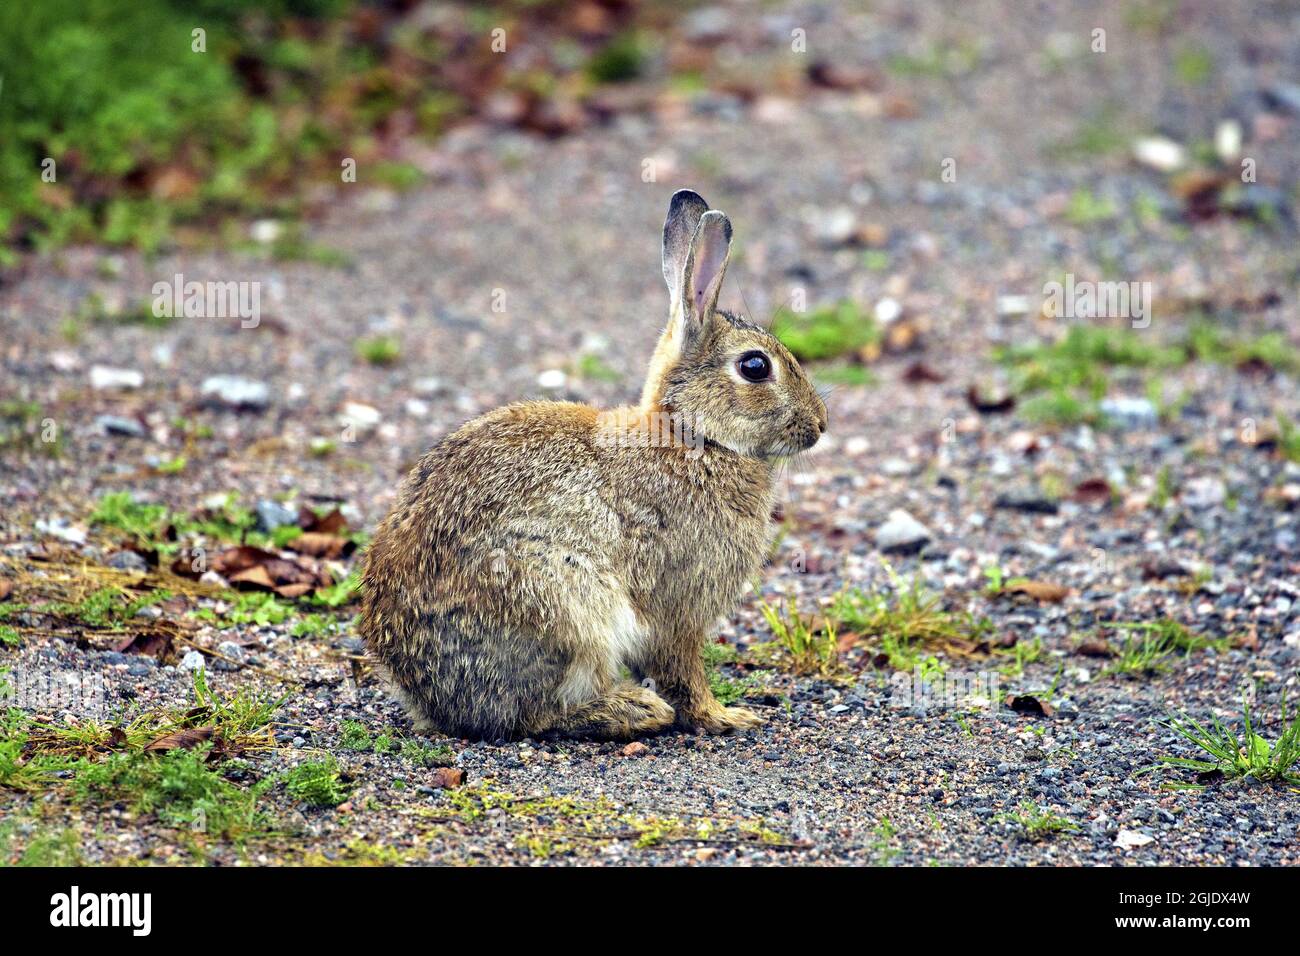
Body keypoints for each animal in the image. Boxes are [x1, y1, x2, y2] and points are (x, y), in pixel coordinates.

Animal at [359, 189, 828, 741]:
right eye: (755, 366)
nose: (820, 425)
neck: (692, 434)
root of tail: (424, 693)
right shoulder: (677, 608)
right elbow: (683, 672)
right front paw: (725, 717)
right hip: (562, 603)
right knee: (535, 715)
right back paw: (633, 710)